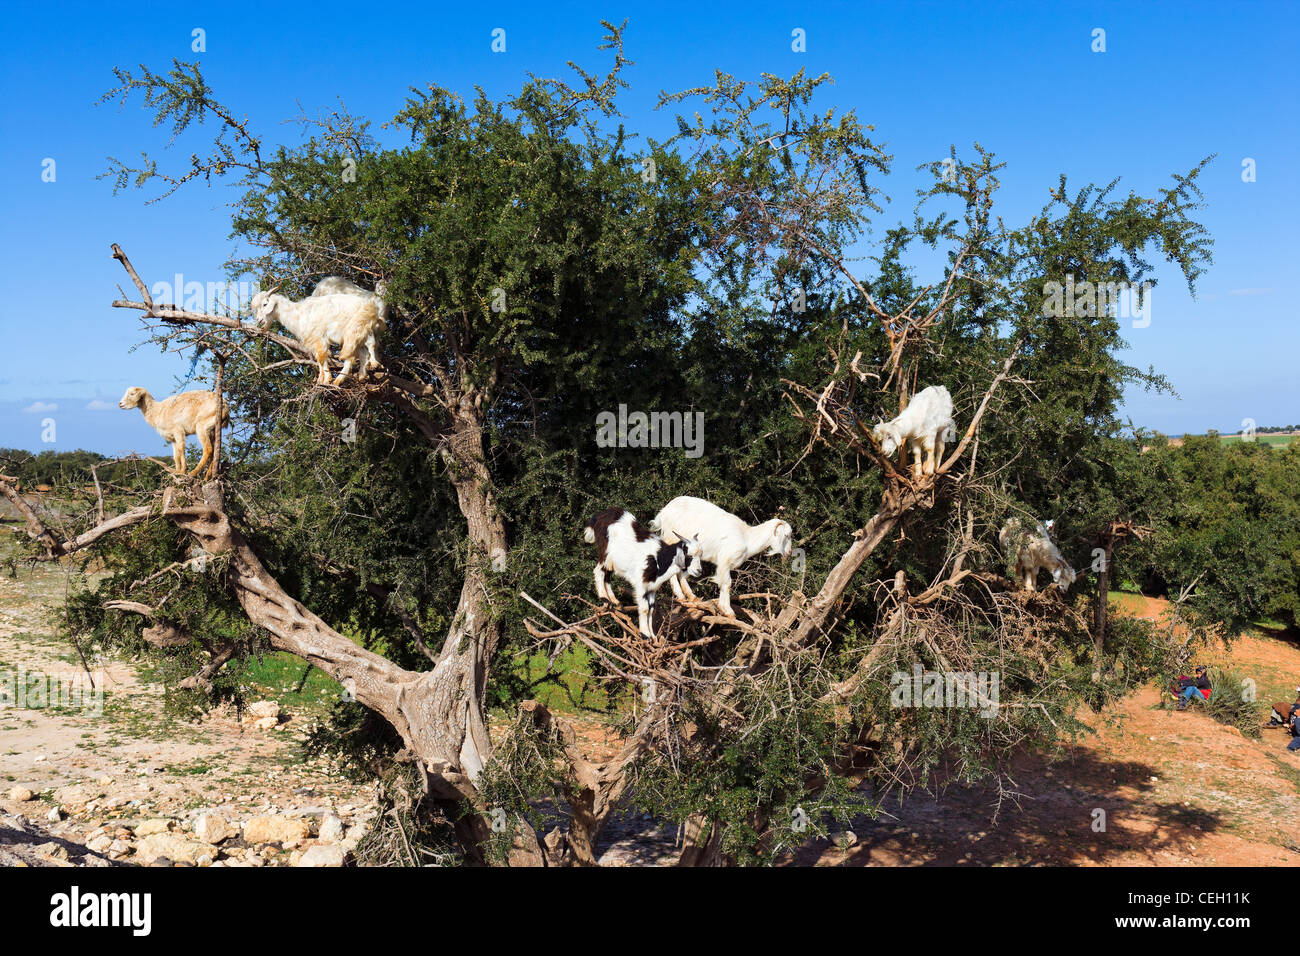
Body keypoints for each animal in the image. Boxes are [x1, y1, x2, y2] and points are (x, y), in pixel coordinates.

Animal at [251, 288, 383, 385]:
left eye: (265, 304)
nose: (259, 320)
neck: (298, 314)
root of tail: (372, 308)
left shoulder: (319, 338)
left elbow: (321, 358)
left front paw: (326, 379)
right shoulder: (315, 341)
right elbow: (319, 359)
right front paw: (321, 379)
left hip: (352, 331)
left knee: (352, 356)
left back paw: (339, 380)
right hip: (361, 333)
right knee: (365, 352)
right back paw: (362, 375)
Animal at [583, 508, 702, 638]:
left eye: (700, 555)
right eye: (689, 555)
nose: (699, 571)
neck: (659, 558)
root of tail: (600, 516)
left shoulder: (652, 588)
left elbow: (651, 609)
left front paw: (653, 636)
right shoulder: (641, 585)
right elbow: (645, 608)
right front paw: (644, 634)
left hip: (612, 561)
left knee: (607, 575)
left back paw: (614, 601)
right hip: (605, 552)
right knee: (598, 571)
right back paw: (604, 597)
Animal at [650, 495, 793, 617]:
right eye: (786, 535)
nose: (789, 552)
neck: (747, 537)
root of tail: (664, 512)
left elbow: (724, 584)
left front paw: (723, 609)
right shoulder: (725, 560)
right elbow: (727, 583)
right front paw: (728, 610)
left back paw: (690, 596)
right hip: (672, 539)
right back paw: (681, 595)